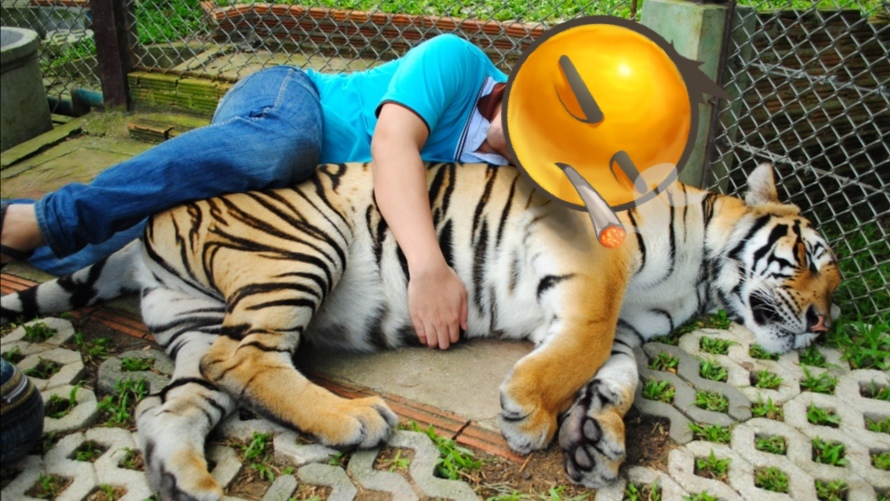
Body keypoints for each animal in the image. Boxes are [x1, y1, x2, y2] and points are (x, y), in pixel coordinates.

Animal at [0, 161, 840, 499]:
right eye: (809, 256)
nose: (822, 324)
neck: (698, 272)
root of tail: (146, 227)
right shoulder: (595, 270)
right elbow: (583, 345)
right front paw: (532, 413)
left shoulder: (633, 330)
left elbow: (619, 377)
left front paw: (596, 440)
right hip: (298, 248)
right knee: (245, 357)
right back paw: (355, 420)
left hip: (195, 322)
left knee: (176, 400)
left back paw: (187, 481)